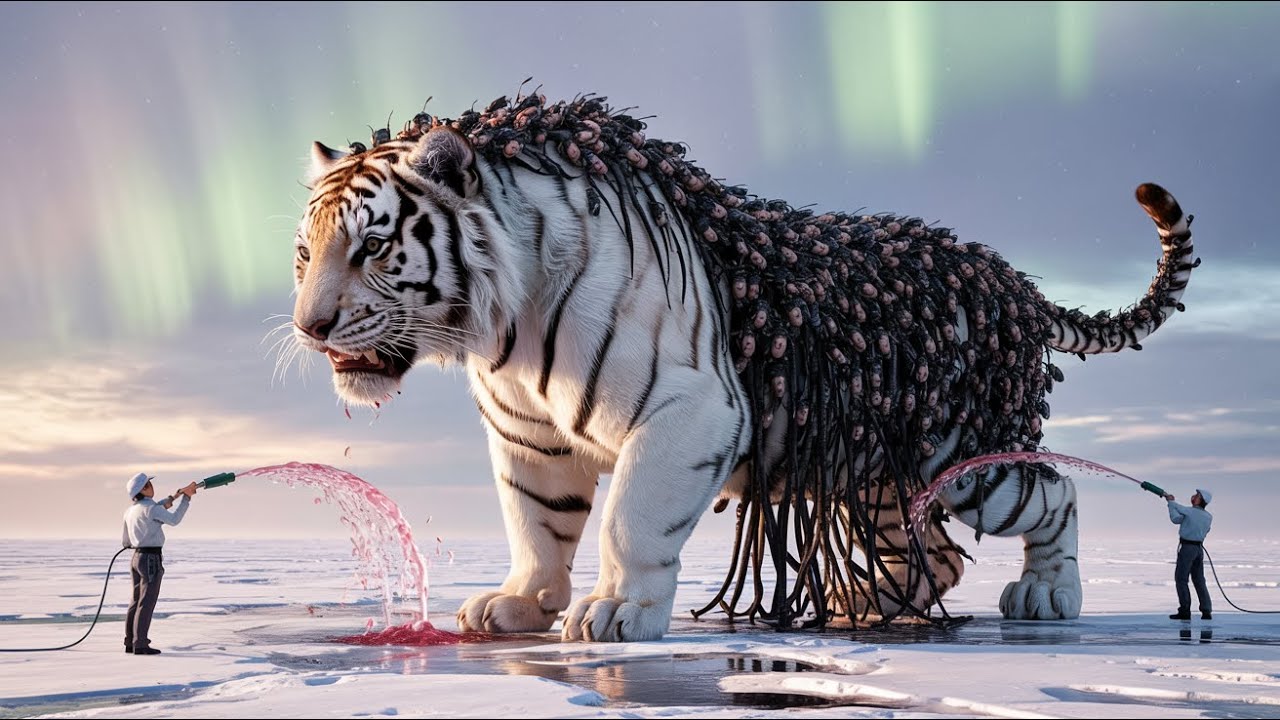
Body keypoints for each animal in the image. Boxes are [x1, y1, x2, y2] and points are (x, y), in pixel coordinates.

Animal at [289, 92, 1194, 641]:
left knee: (1055, 491)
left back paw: (1048, 598)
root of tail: (1015, 283)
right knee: (929, 550)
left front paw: (615, 613)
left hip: (970, 461)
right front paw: (519, 604)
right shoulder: (530, 440)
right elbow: (536, 522)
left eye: (371, 247)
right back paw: (866, 604)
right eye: (307, 252)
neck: (502, 325)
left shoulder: (689, 411)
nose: (310, 327)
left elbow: (629, 519)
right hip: (878, 474)